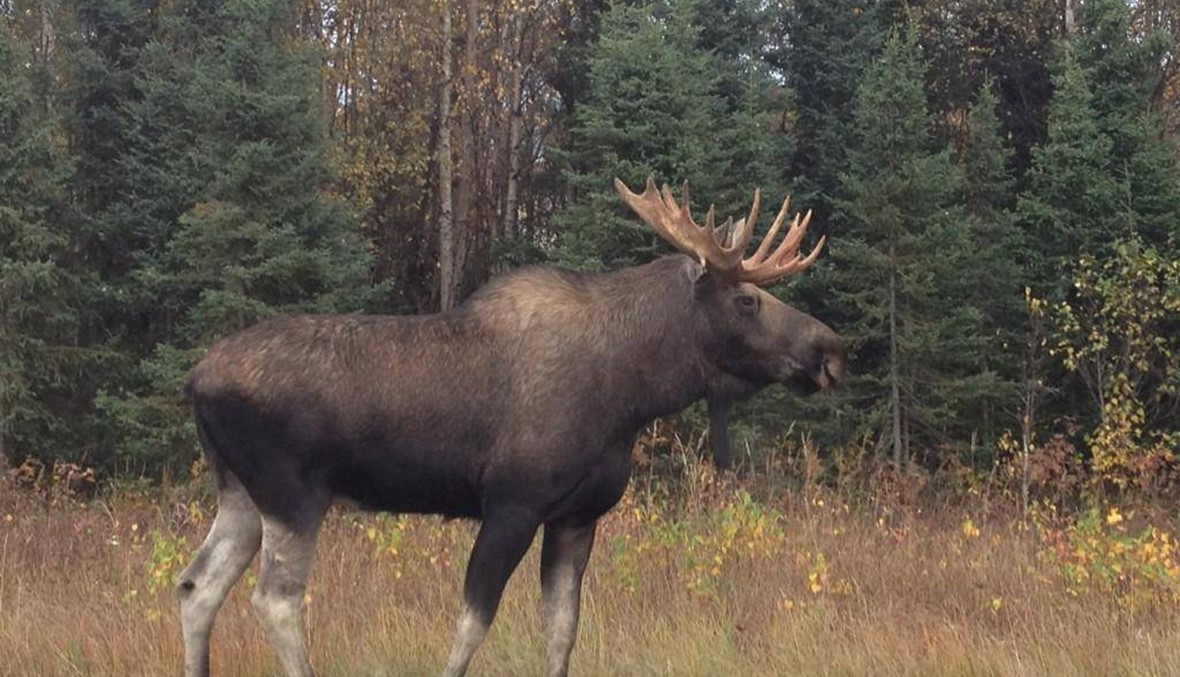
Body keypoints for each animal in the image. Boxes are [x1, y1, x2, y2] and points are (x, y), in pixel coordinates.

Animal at [177, 178, 844, 677]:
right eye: (748, 301)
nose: (830, 350)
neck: (631, 393)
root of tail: (196, 379)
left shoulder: (578, 516)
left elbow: (562, 630)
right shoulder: (511, 505)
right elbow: (473, 624)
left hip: (240, 495)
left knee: (196, 586)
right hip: (292, 495)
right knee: (274, 600)